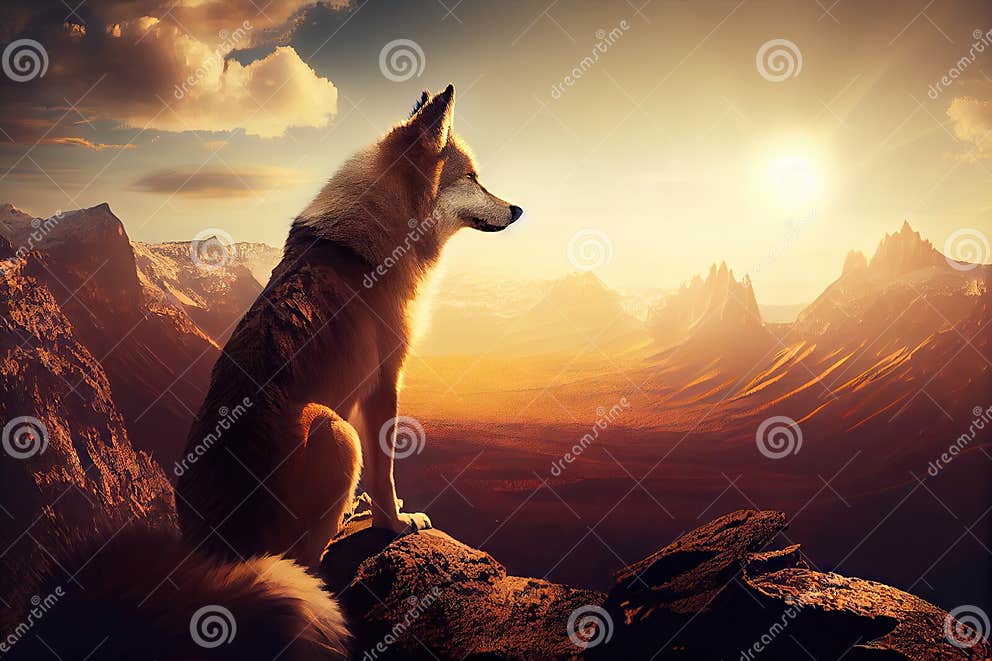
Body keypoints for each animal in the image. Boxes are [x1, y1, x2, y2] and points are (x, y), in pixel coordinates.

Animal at [9, 84, 522, 660]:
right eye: (473, 178)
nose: (519, 209)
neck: (374, 241)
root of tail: (213, 554)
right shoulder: (384, 383)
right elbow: (386, 471)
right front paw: (394, 522)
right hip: (334, 428)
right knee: (308, 566)